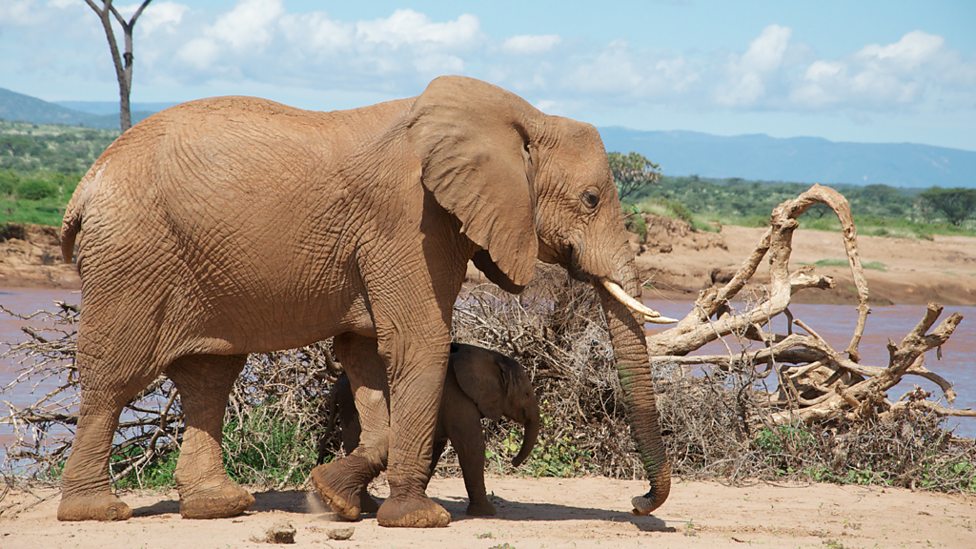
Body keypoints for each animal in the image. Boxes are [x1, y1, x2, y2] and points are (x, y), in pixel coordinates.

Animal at [319, 342, 539, 517]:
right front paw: (486, 513)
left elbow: (434, 448)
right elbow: (471, 446)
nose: (513, 462)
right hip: (352, 405)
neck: (489, 356)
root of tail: (336, 384)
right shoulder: (458, 398)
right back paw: (365, 507)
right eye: (527, 394)